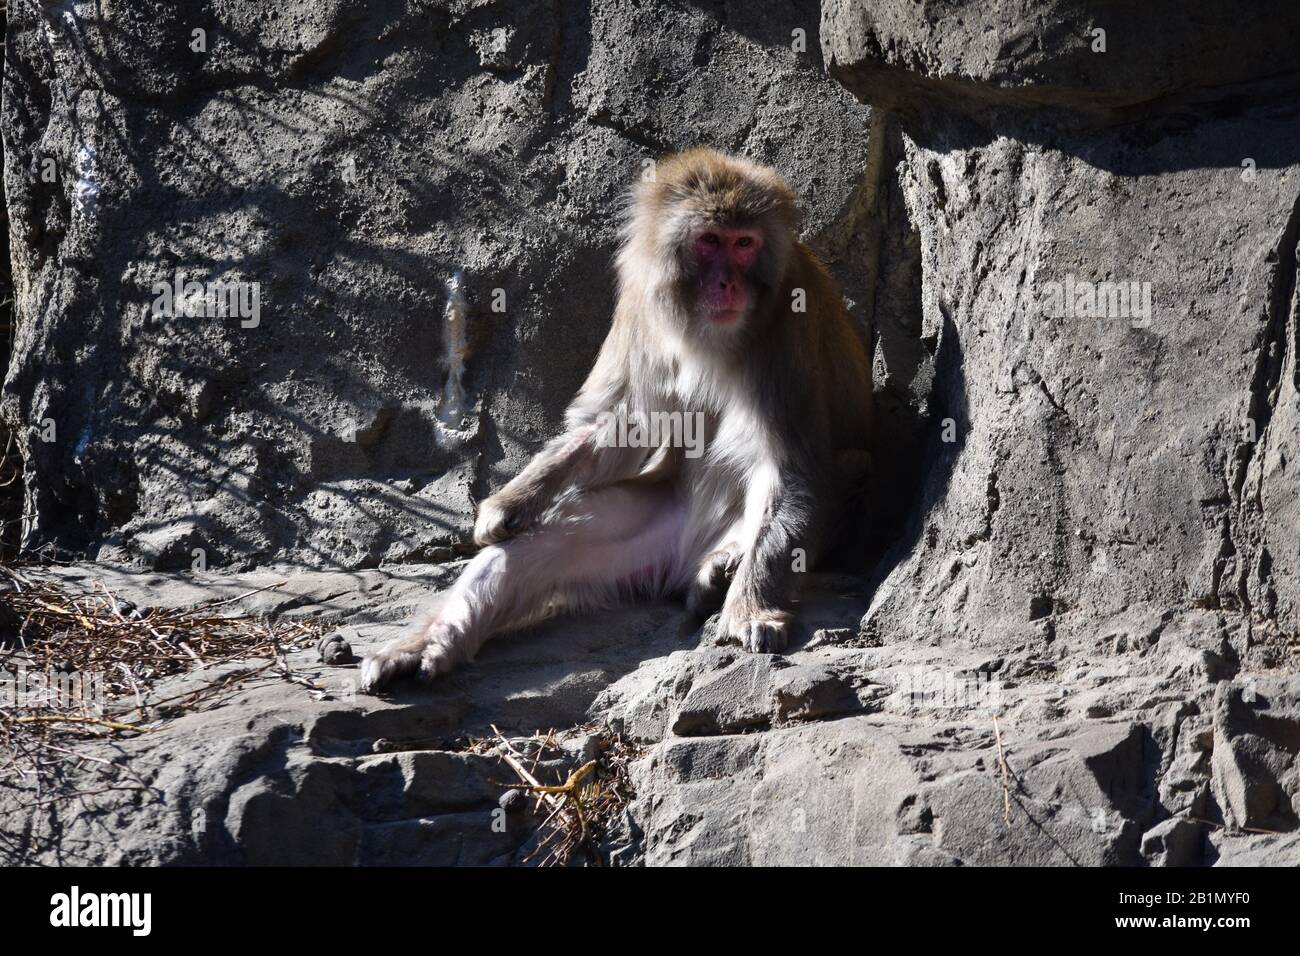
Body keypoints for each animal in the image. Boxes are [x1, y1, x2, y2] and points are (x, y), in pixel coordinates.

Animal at [360, 148, 873, 692]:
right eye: (710, 241)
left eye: (744, 244)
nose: (727, 283)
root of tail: (685, 559)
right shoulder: (641, 309)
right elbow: (619, 423)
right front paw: (509, 501)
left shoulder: (787, 332)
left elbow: (790, 470)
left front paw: (751, 608)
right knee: (549, 531)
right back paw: (427, 644)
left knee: (849, 464)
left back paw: (724, 565)